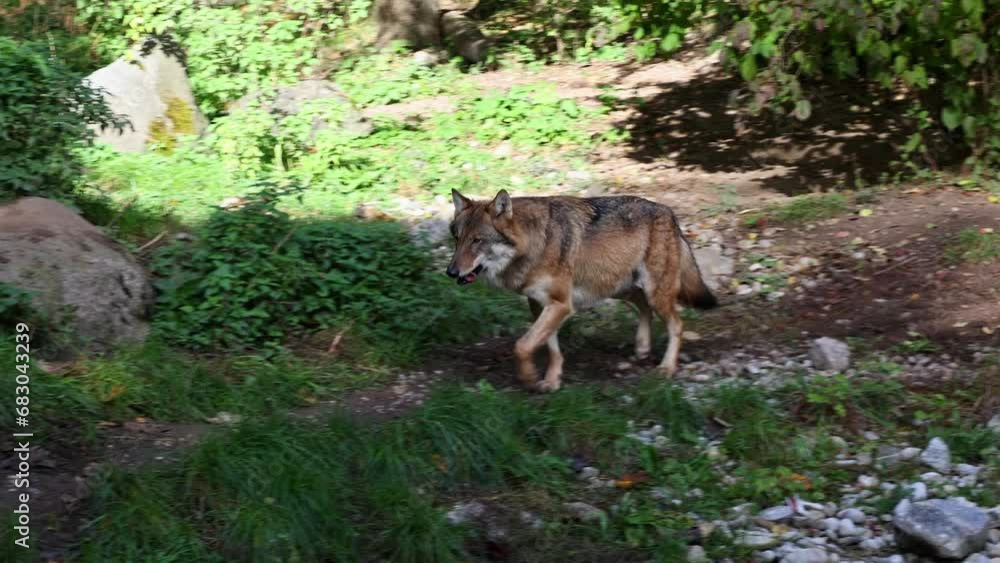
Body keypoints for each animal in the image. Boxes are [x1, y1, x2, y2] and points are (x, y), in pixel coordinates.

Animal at [446, 189, 718, 392]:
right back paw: (641, 348)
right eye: (457, 238)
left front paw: (529, 378)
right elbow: (550, 348)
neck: (535, 244)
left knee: (676, 324)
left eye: (477, 241)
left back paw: (667, 368)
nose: (450, 272)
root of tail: (670, 213)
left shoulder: (560, 305)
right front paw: (551, 380)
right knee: (643, 307)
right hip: (619, 288)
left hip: (653, 292)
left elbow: (522, 346)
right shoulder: (541, 305)